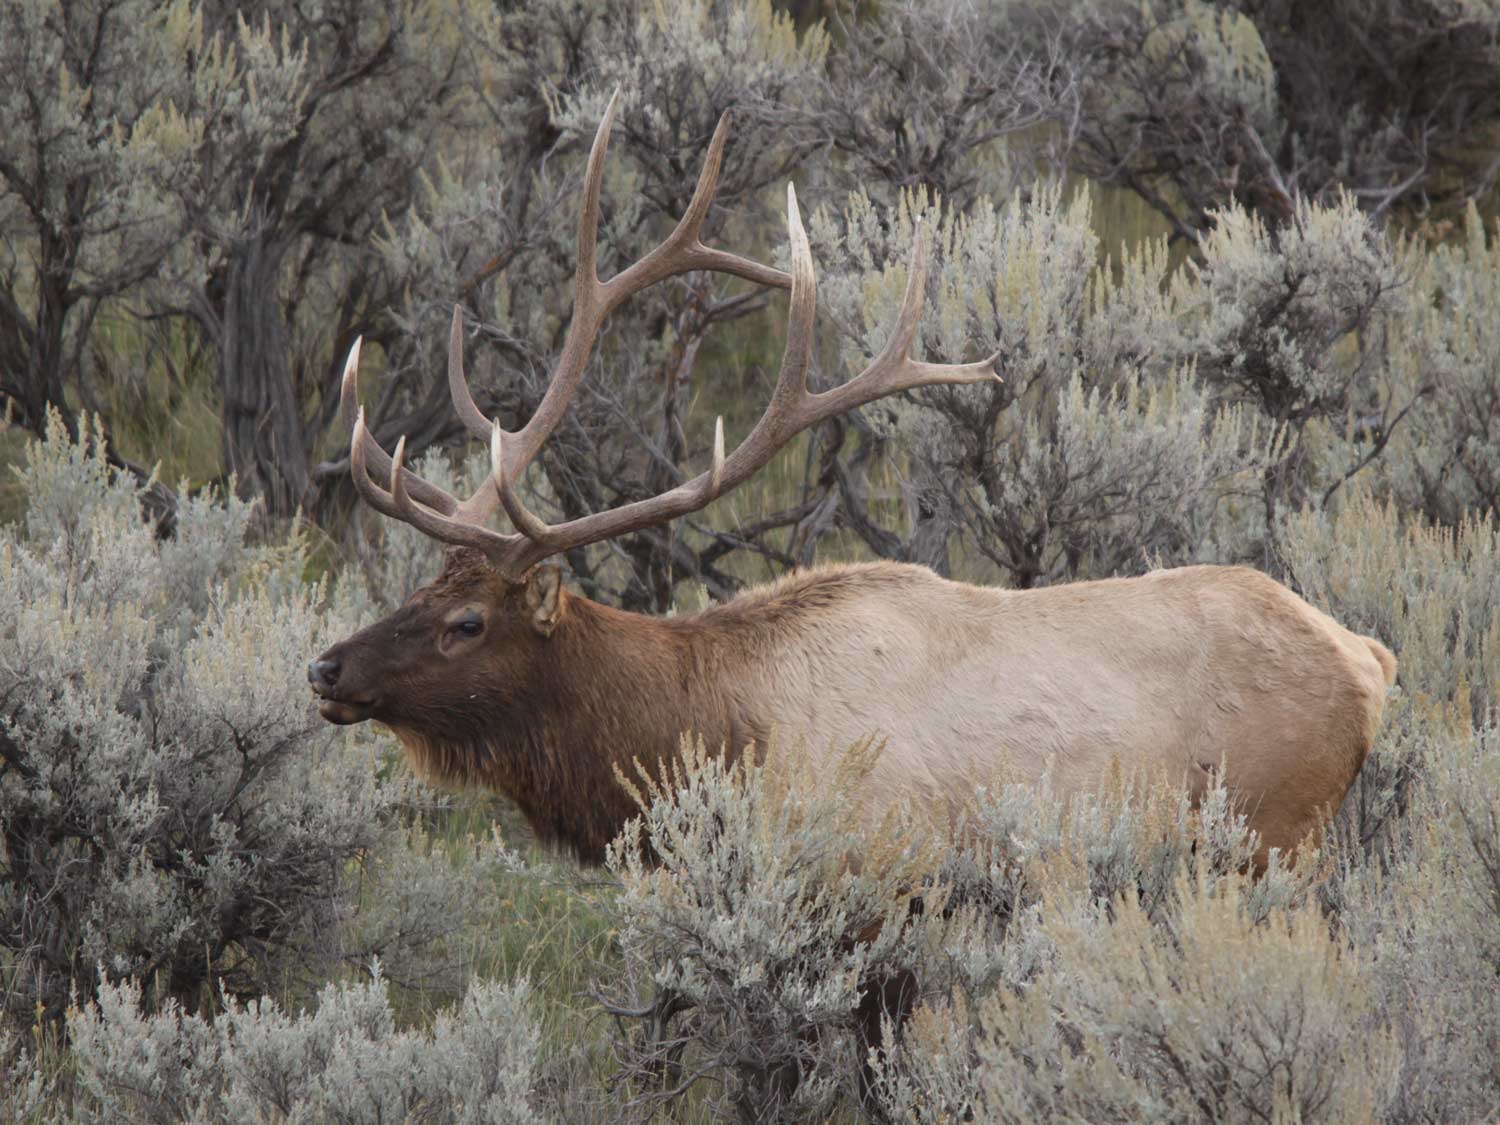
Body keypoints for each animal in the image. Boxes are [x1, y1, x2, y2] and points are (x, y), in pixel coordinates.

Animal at [308, 93, 1396, 875]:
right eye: (422, 588)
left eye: (468, 623)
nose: (326, 667)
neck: (712, 736)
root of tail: (1368, 660)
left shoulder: (882, 877)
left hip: (1273, 835)